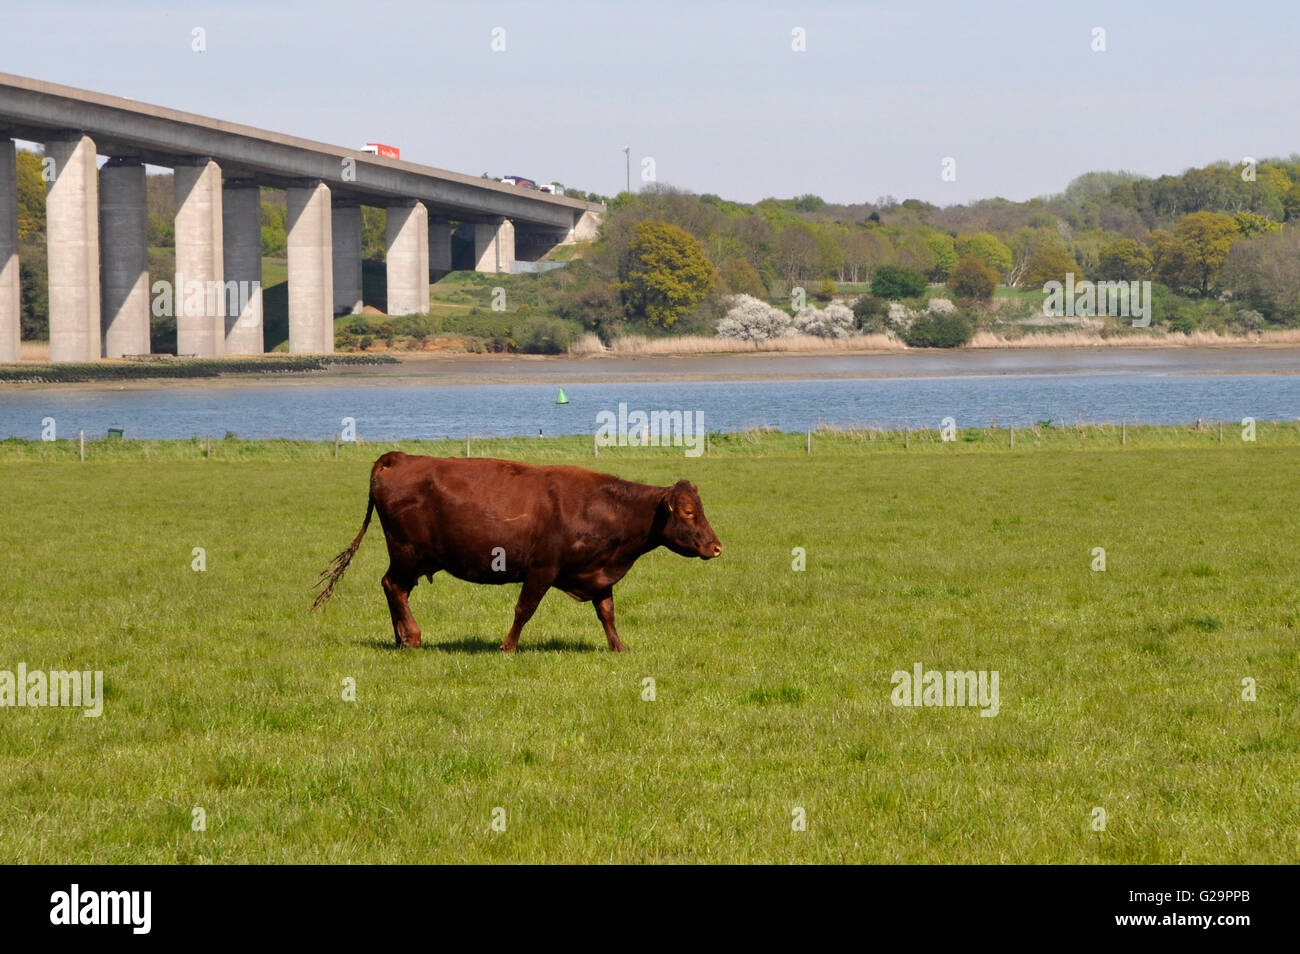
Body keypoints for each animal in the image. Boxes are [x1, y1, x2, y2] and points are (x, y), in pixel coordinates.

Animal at [312, 453, 722, 652]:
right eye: (688, 512)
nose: (716, 547)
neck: (600, 506)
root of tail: (401, 457)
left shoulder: (598, 574)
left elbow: (607, 613)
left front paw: (618, 648)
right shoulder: (542, 569)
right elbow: (524, 610)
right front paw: (507, 647)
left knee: (393, 589)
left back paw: (400, 637)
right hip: (407, 554)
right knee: (393, 586)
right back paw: (410, 636)